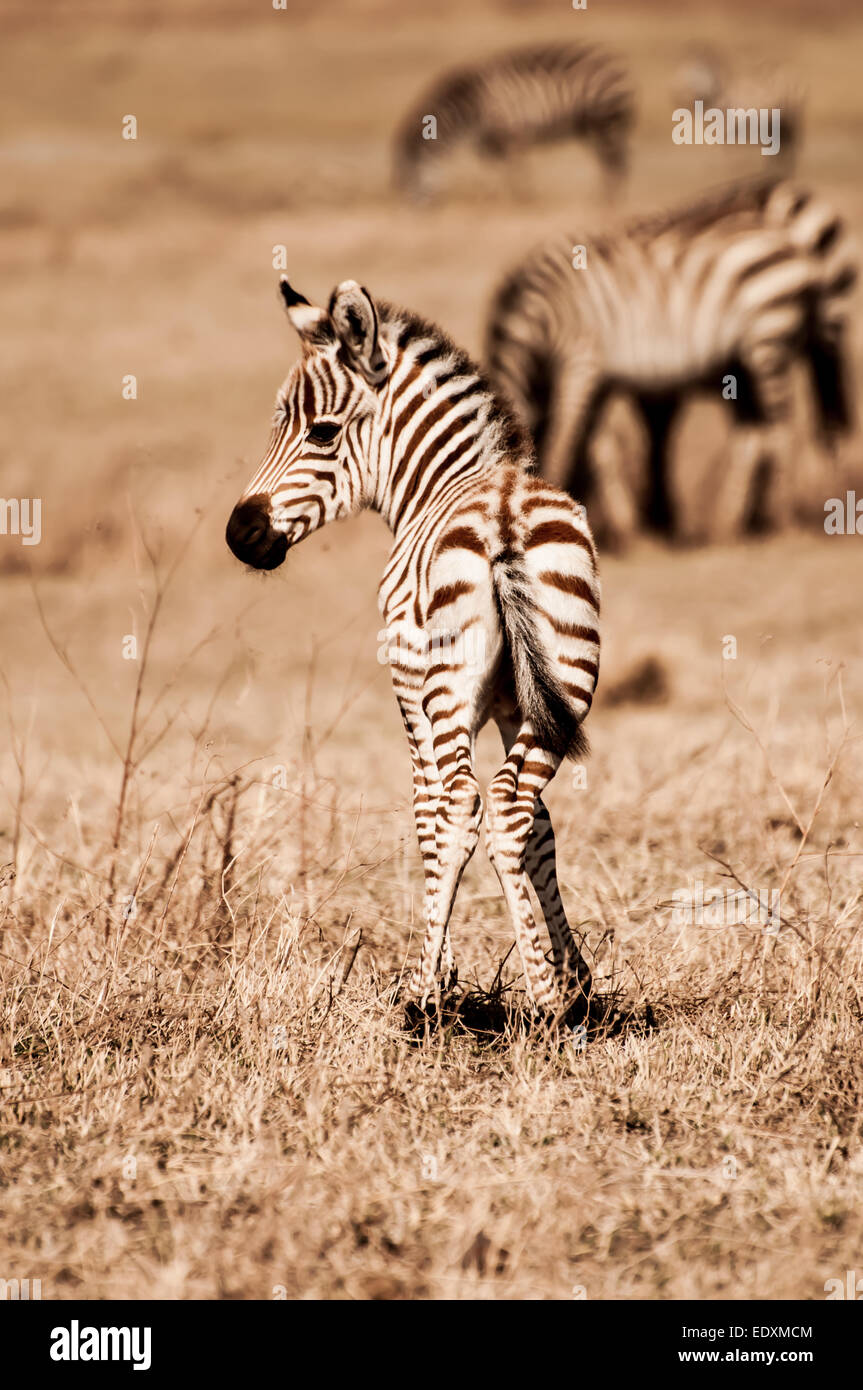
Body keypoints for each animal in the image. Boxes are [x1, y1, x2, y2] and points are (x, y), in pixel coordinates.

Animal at [225, 276, 600, 1025]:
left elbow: (428, 816)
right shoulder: (519, 703)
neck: (447, 481)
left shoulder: (406, 688)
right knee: (511, 809)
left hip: (446, 686)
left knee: (460, 806)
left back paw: (438, 998)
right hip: (568, 676)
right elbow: (541, 829)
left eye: (320, 430)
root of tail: (504, 515)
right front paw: (573, 972)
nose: (238, 533)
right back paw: (552, 1002)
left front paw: (439, 972)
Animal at [392, 43, 634, 200]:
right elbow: (495, 171)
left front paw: (525, 199)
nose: (412, 219)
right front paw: (493, 198)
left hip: (605, 119)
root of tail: (614, 58)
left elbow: (517, 170)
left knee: (618, 163)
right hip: (589, 126)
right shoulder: (487, 141)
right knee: (610, 162)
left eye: (408, 179)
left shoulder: (511, 133)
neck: (472, 107)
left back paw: (607, 203)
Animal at [484, 177, 857, 545]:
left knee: (782, 429)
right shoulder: (596, 379)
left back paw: (779, 519)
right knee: (756, 433)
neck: (535, 316)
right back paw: (731, 520)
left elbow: (571, 438)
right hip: (747, 361)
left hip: (771, 340)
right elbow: (600, 447)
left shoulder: (581, 361)